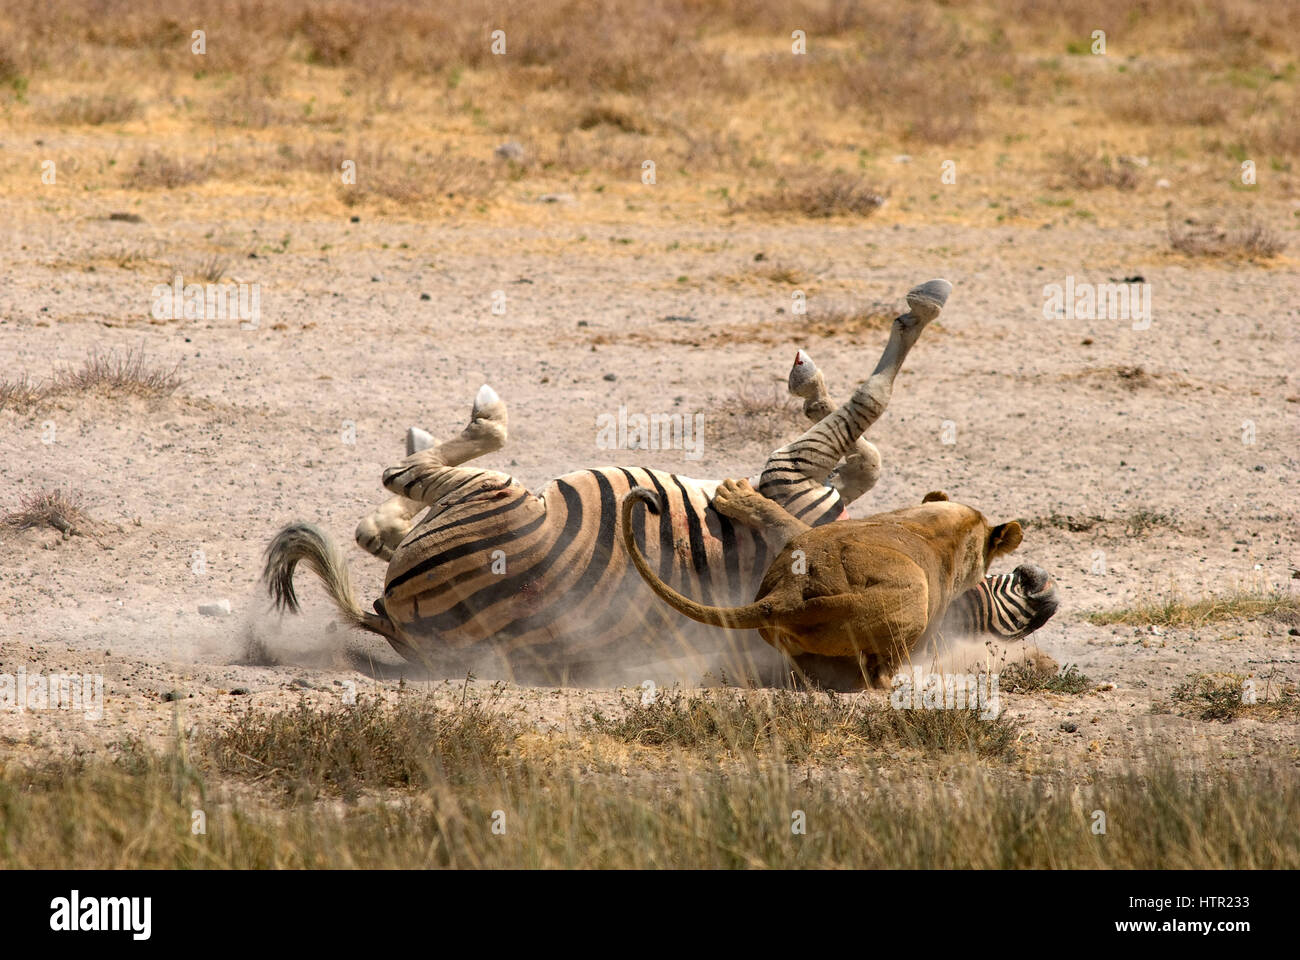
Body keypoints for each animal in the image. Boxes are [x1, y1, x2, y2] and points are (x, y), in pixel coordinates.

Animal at [263, 279, 1059, 685]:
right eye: (993, 584)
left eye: (979, 600)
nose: (1044, 593)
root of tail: (398, 623)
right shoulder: (803, 489)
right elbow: (866, 454)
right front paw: (812, 386)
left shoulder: (789, 483)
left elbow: (871, 404)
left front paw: (913, 313)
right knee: (404, 493)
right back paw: (398, 509)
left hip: (500, 499)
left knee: (419, 472)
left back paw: (451, 448)